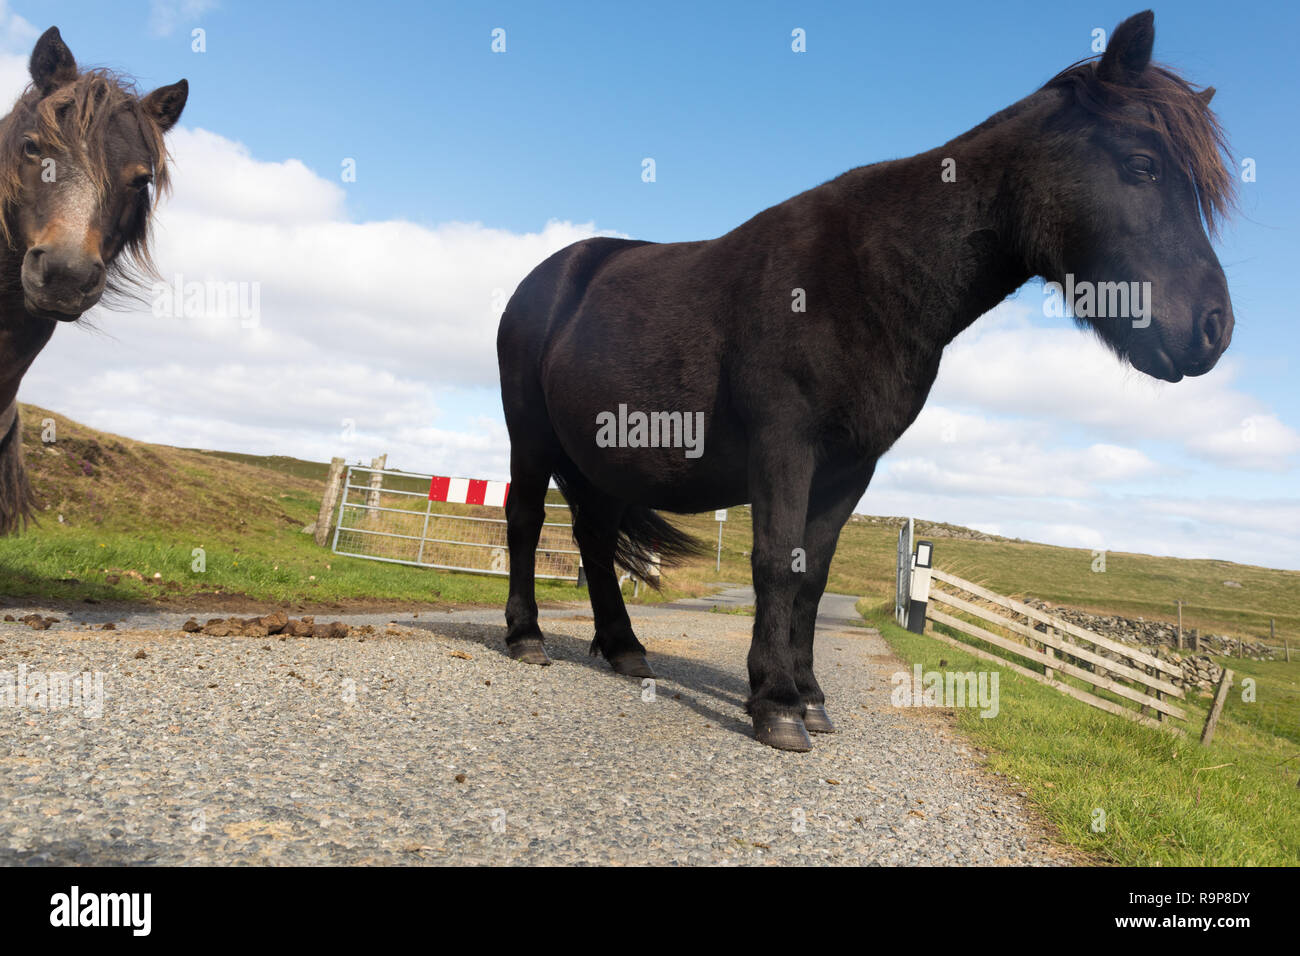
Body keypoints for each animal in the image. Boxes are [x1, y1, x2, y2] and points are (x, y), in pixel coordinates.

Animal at [496, 10, 1236, 750]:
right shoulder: (785, 447)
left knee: (594, 540)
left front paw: (809, 697)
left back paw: (624, 648)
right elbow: (775, 562)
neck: (868, 278)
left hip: (598, 461)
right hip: (531, 439)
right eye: (1141, 165)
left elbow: (813, 576)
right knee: (527, 522)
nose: (1215, 328)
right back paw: (527, 636)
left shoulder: (851, 468)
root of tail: (550, 277)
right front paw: (775, 702)